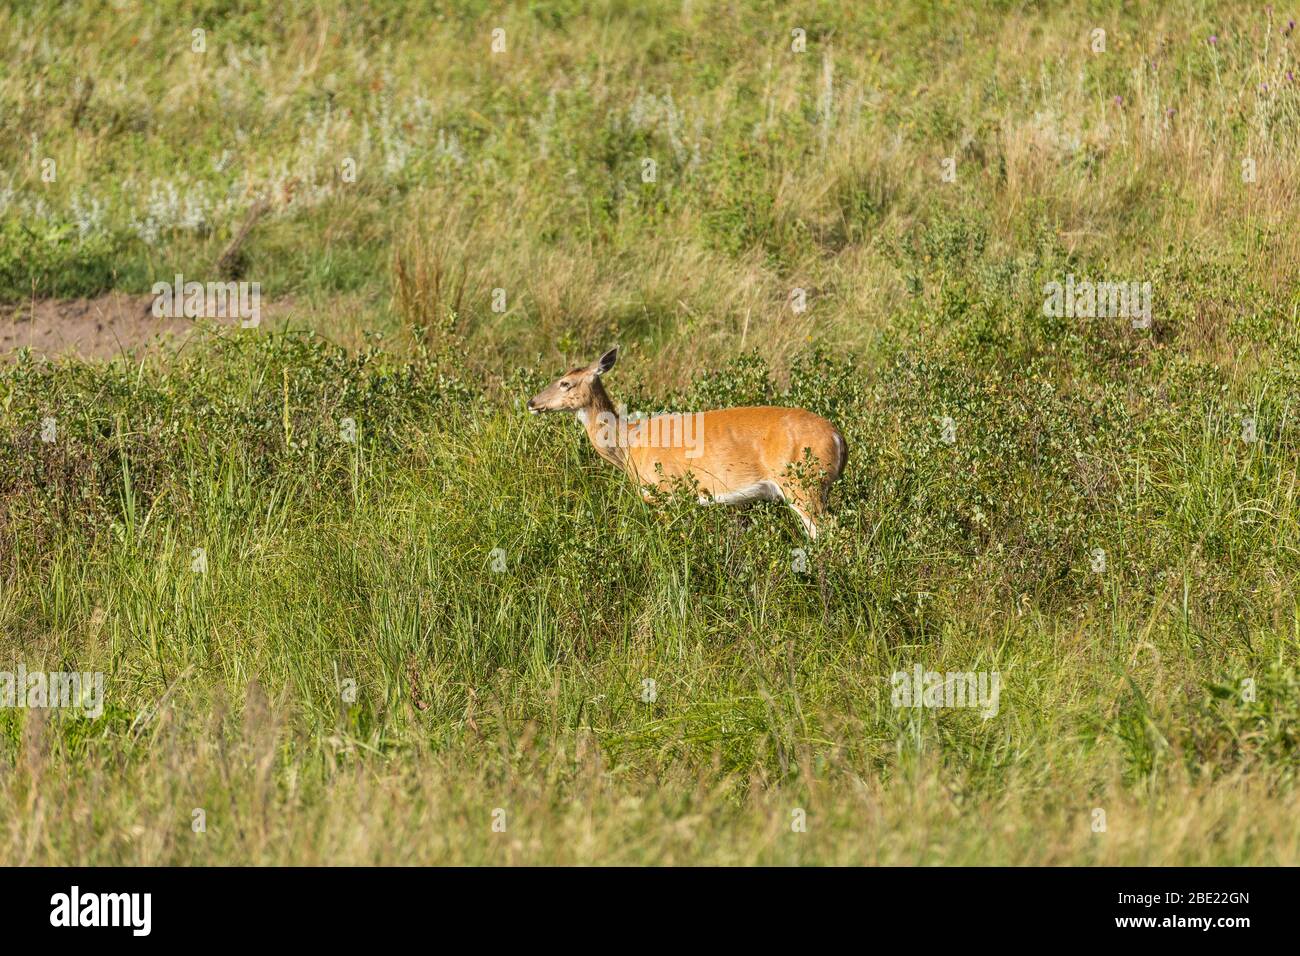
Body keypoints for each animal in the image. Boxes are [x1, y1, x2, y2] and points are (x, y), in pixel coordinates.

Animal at [526, 348, 847, 537]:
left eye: (565, 383)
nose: (532, 402)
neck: (629, 443)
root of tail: (838, 437)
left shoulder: (663, 491)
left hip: (802, 483)